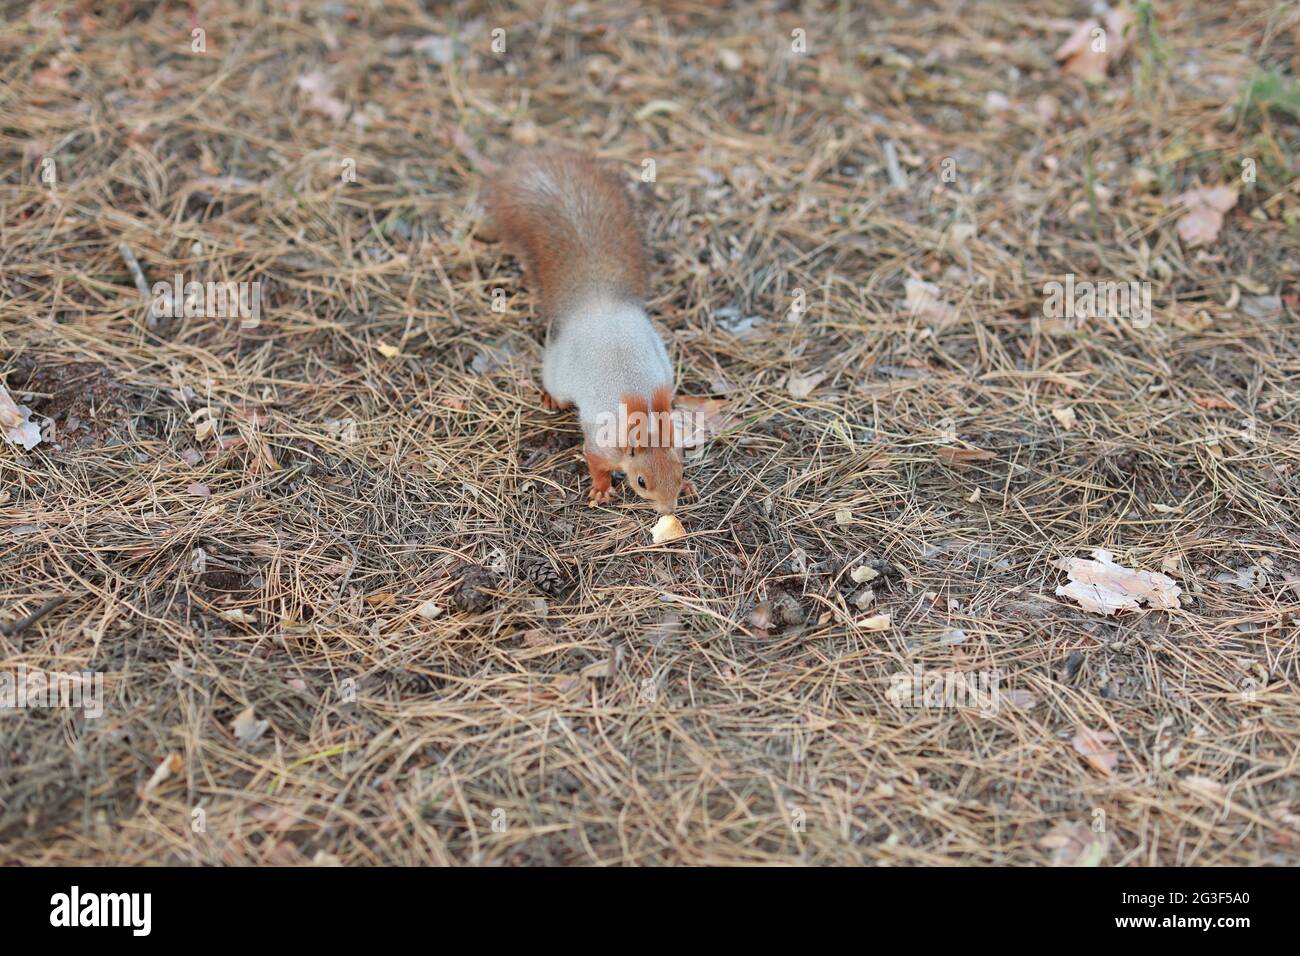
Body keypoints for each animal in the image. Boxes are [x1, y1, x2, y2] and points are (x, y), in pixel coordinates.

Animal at [483, 148, 695, 512]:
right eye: (642, 481)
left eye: (680, 469)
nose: (668, 510)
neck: (643, 412)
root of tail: (598, 305)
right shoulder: (600, 442)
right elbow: (595, 462)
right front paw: (600, 489)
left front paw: (688, 488)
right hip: (559, 370)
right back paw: (553, 398)